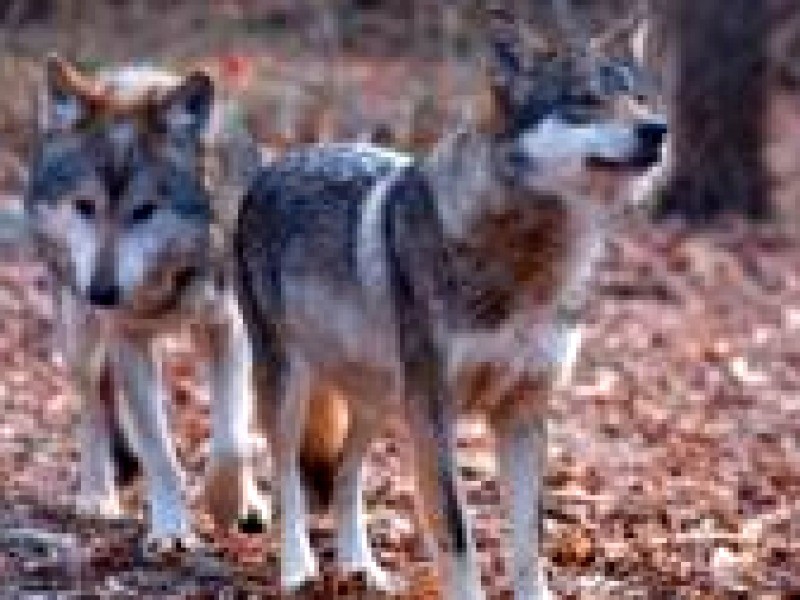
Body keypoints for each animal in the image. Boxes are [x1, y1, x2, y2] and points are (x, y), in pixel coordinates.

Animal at [25, 55, 265, 551]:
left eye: (144, 210)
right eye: (84, 205)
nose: (101, 293)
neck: (165, 282)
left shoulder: (229, 329)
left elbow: (231, 441)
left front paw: (228, 504)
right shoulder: (128, 339)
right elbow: (159, 453)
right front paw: (171, 530)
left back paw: (251, 502)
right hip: (79, 337)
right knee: (93, 407)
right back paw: (97, 495)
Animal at [234, 8, 667, 599]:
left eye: (639, 99)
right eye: (585, 100)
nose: (658, 129)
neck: (528, 262)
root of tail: (274, 164)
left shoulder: (523, 412)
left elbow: (529, 542)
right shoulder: (434, 413)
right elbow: (458, 533)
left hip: (380, 403)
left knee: (345, 476)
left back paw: (360, 569)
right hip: (292, 388)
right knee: (286, 481)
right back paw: (297, 570)